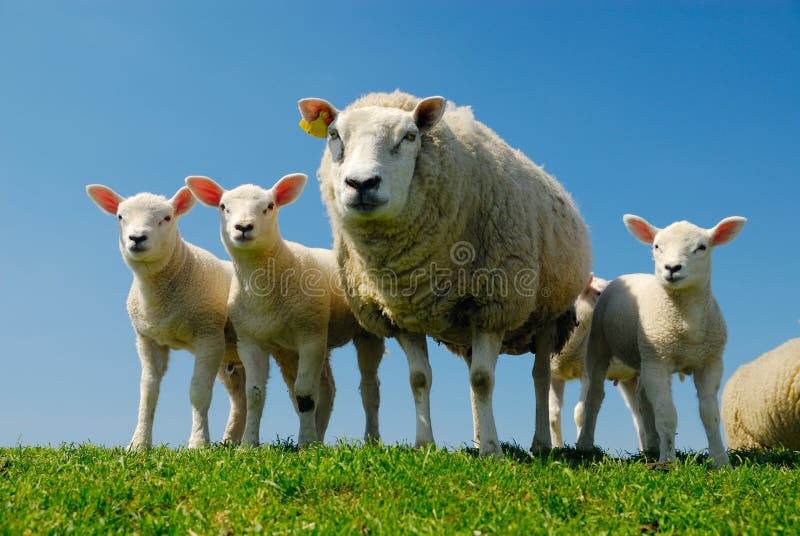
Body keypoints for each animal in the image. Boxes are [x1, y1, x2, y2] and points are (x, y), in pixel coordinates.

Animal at [86, 184, 248, 449]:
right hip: (230, 357)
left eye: (167, 218)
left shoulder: (209, 334)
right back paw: (231, 441)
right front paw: (139, 444)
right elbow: (148, 391)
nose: (137, 238)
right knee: (240, 395)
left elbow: (198, 391)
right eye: (120, 217)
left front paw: (198, 443)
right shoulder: (148, 340)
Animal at [185, 173, 385, 447]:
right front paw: (248, 445)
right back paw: (319, 437)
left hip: (365, 334)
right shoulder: (250, 341)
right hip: (297, 348)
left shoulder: (311, 335)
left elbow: (305, 393)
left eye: (269, 206)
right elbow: (255, 394)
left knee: (368, 388)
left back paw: (369, 439)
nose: (243, 227)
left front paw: (305, 444)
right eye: (223, 207)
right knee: (327, 390)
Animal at [298, 91, 592, 456]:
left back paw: (539, 443)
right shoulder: (402, 314)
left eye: (410, 136)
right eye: (334, 134)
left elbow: (483, 378)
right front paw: (425, 444)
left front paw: (492, 450)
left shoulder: (494, 303)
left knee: (539, 377)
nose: (362, 183)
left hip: (546, 315)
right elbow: (420, 379)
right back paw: (479, 436)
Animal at [576, 214, 747, 468]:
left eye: (702, 247)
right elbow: (667, 414)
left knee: (642, 400)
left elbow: (710, 415)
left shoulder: (710, 363)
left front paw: (721, 462)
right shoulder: (659, 362)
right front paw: (668, 461)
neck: (686, 325)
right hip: (600, 345)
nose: (672, 268)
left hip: (643, 356)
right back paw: (586, 444)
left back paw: (652, 446)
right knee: (595, 396)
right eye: (657, 246)